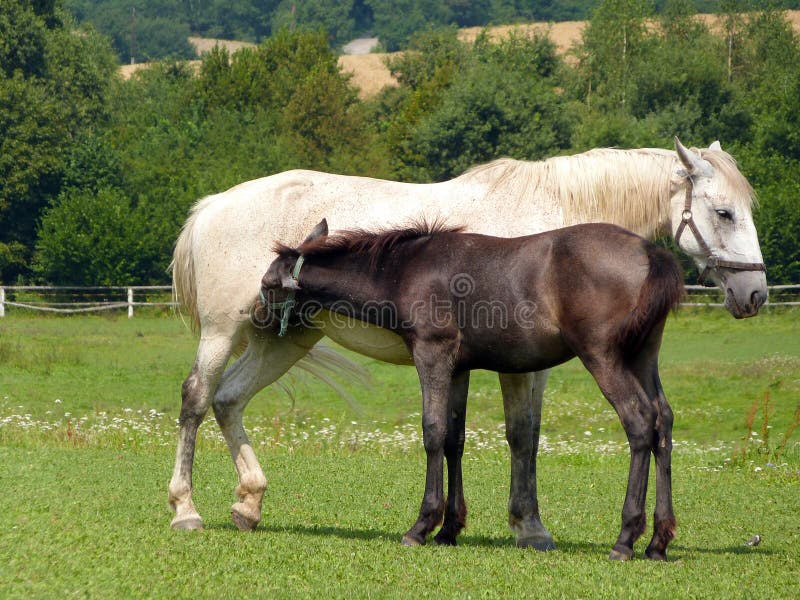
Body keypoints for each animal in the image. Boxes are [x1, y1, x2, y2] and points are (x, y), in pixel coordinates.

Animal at [258, 219, 685, 560]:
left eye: (267, 285)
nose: (256, 317)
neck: (405, 269)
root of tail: (650, 251)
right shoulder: (459, 368)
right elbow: (454, 439)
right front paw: (449, 529)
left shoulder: (432, 353)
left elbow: (432, 432)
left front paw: (421, 526)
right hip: (643, 355)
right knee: (663, 421)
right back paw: (658, 541)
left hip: (602, 355)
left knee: (639, 421)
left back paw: (626, 538)